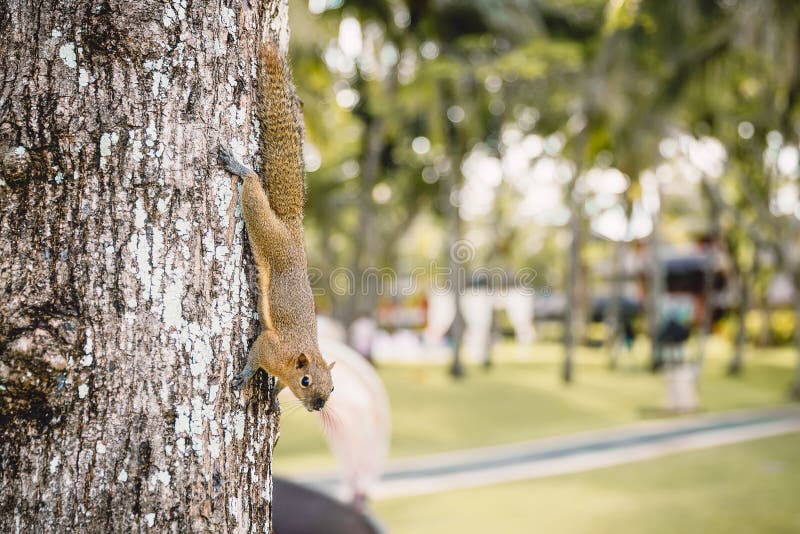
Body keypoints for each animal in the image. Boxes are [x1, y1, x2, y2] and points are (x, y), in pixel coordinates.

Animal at [218, 42, 334, 412]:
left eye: (333, 388)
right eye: (306, 380)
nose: (318, 405)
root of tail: (293, 229)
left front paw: (274, 396)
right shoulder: (272, 346)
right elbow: (256, 354)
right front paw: (244, 376)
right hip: (267, 232)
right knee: (254, 194)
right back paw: (240, 168)